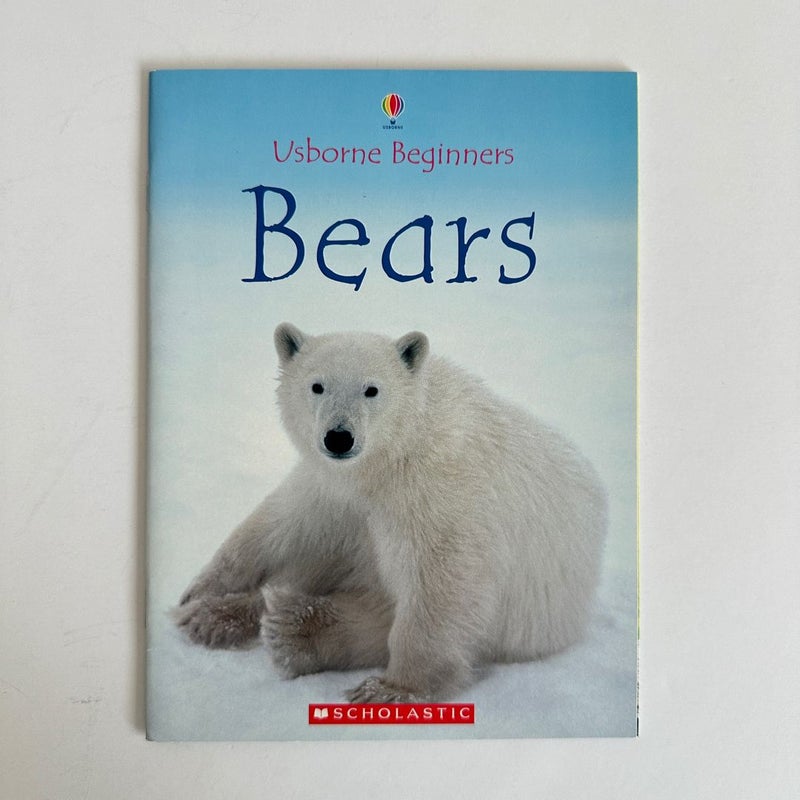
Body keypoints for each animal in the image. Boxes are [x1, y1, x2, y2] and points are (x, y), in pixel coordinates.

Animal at [175, 322, 608, 703]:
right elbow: (285, 525)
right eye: (317, 385)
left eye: (372, 389)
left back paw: (290, 630)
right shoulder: (334, 492)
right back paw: (216, 618)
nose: (339, 437)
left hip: (533, 618)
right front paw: (200, 593)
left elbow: (441, 580)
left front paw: (393, 689)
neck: (389, 460)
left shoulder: (434, 494)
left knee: (379, 614)